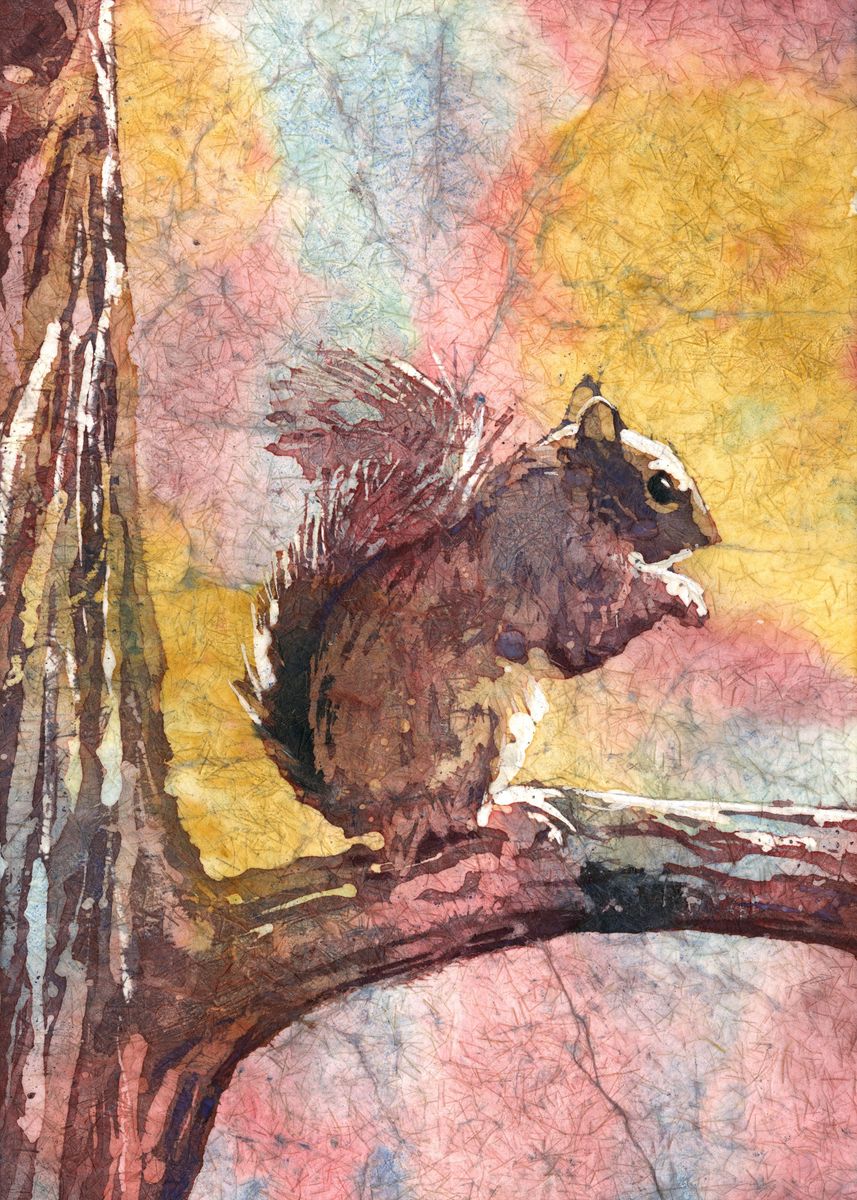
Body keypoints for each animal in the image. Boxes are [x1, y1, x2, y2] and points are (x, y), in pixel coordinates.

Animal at [236, 351, 719, 855]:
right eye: (660, 486)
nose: (713, 537)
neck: (573, 495)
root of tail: (346, 805)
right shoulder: (556, 567)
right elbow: (595, 628)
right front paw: (680, 592)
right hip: (468, 735)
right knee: (451, 817)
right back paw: (502, 816)